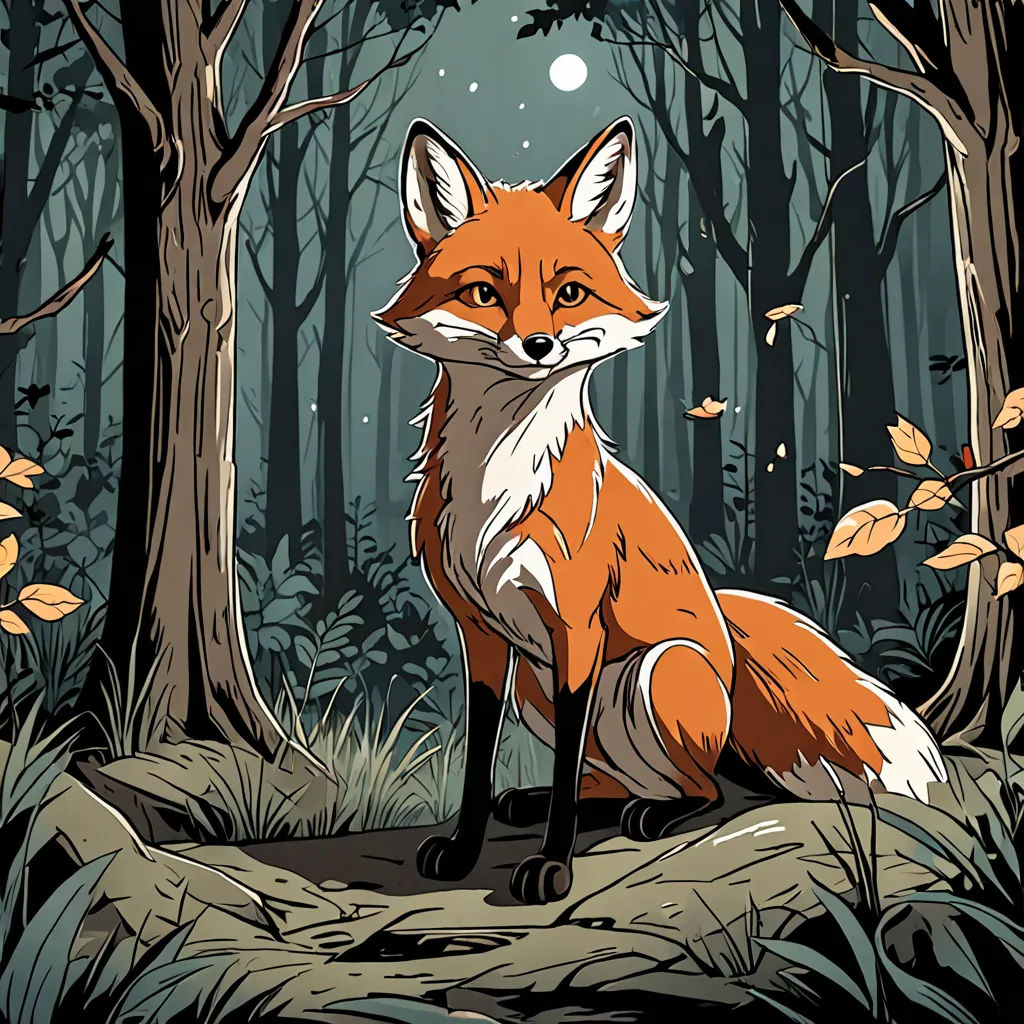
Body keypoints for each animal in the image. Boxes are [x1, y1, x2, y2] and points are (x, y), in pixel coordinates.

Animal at [372, 116, 947, 906]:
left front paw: (553, 869)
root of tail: (727, 646)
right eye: (485, 292)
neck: (499, 483)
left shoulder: (575, 629)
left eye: (570, 292)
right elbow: (478, 765)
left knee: (701, 789)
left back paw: (652, 814)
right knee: (613, 781)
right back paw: (554, 802)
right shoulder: (483, 639)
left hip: (655, 671)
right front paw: (465, 850)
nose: (539, 345)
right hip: (536, 689)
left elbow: (562, 778)